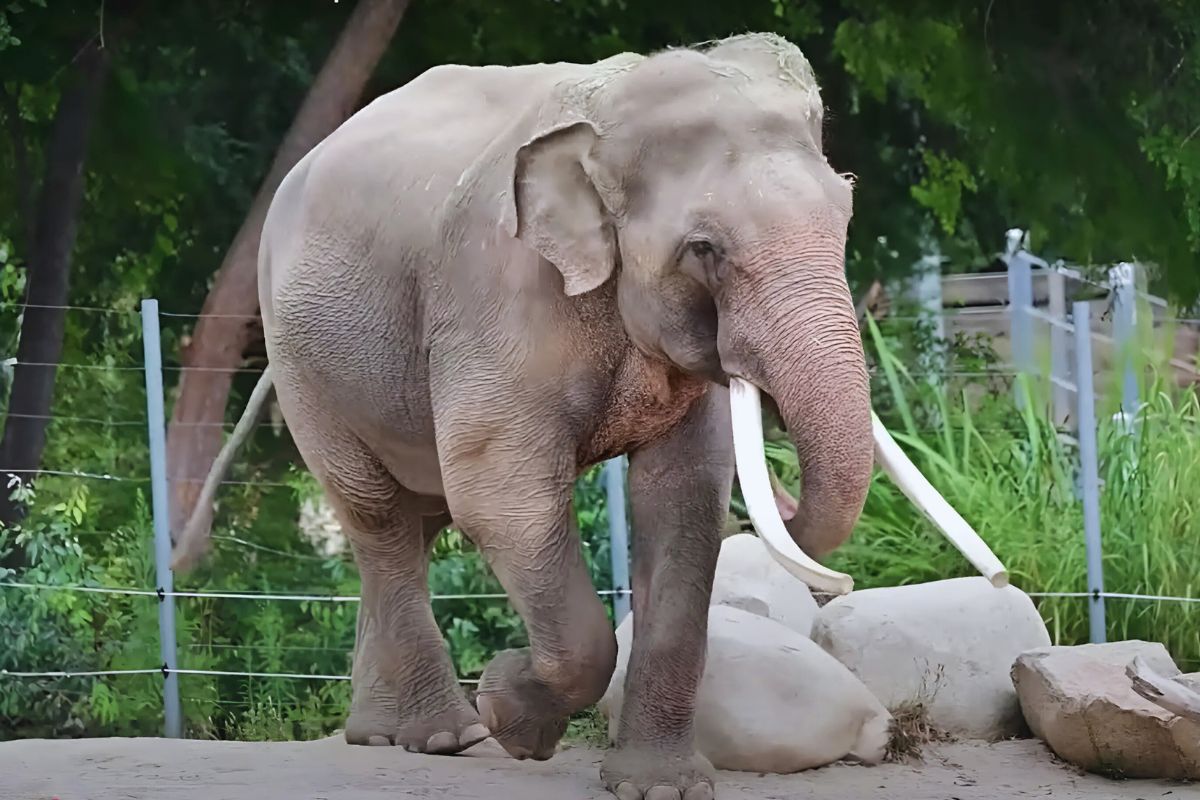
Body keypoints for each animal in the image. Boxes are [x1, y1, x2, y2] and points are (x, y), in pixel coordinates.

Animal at [172, 32, 874, 800]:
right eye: (704, 249)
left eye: (845, 215)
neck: (613, 106)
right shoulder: (494, 294)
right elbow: (501, 495)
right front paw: (509, 711)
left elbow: (685, 497)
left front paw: (659, 787)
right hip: (301, 364)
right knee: (378, 515)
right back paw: (447, 735)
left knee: (411, 523)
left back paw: (382, 733)